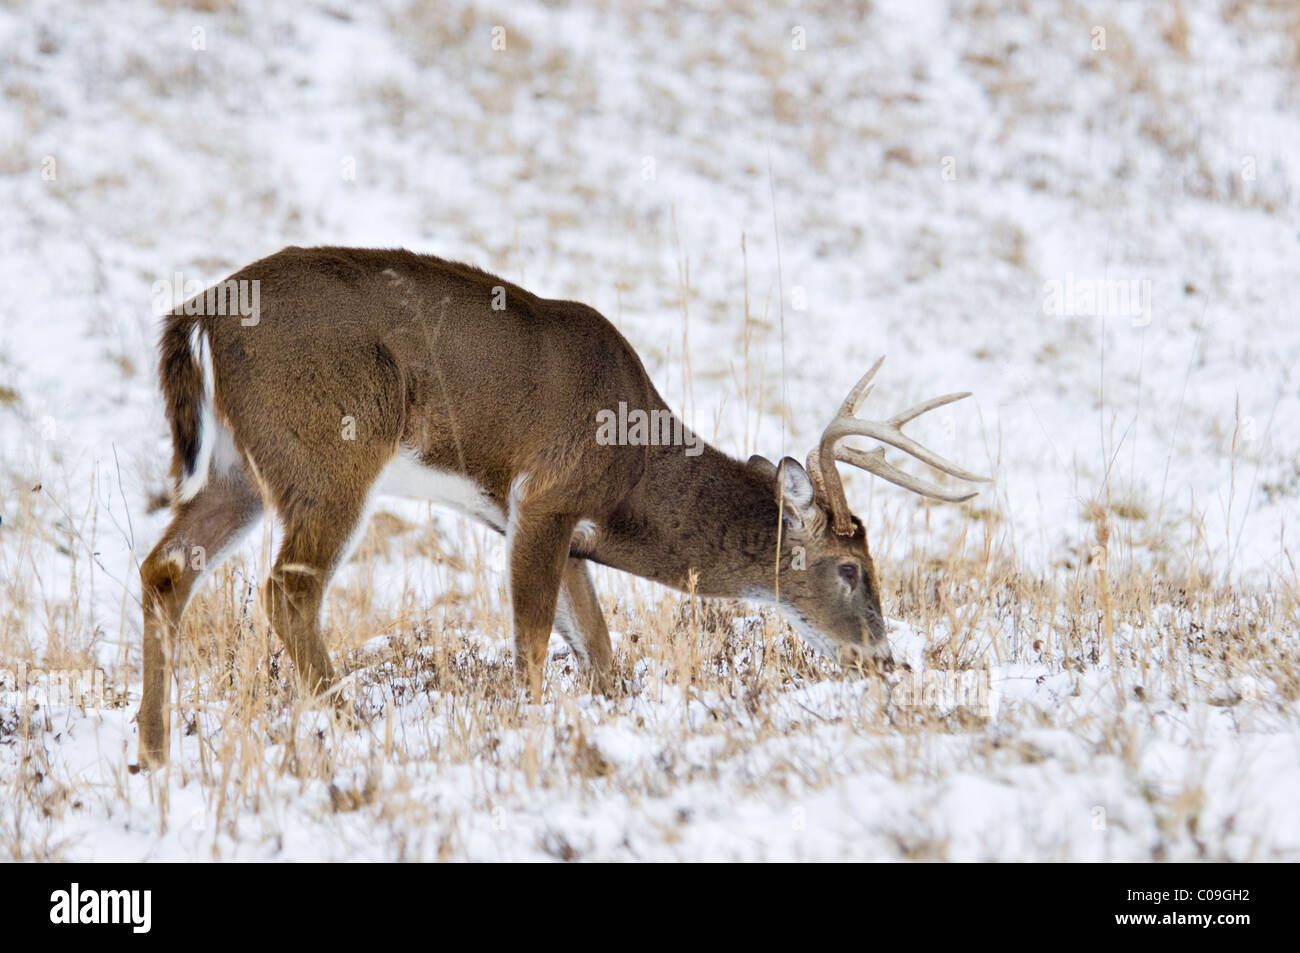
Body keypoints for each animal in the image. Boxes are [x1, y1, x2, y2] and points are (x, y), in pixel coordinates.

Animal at [135, 245, 990, 767]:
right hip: (330, 452)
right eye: (850, 566)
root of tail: (204, 308)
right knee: (288, 587)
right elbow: (534, 646)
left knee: (165, 570)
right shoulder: (543, 500)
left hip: (239, 470)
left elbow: (601, 654)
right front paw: (528, 733)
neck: (632, 466)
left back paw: (152, 749)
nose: (884, 653)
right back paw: (349, 725)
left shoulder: (558, 530)